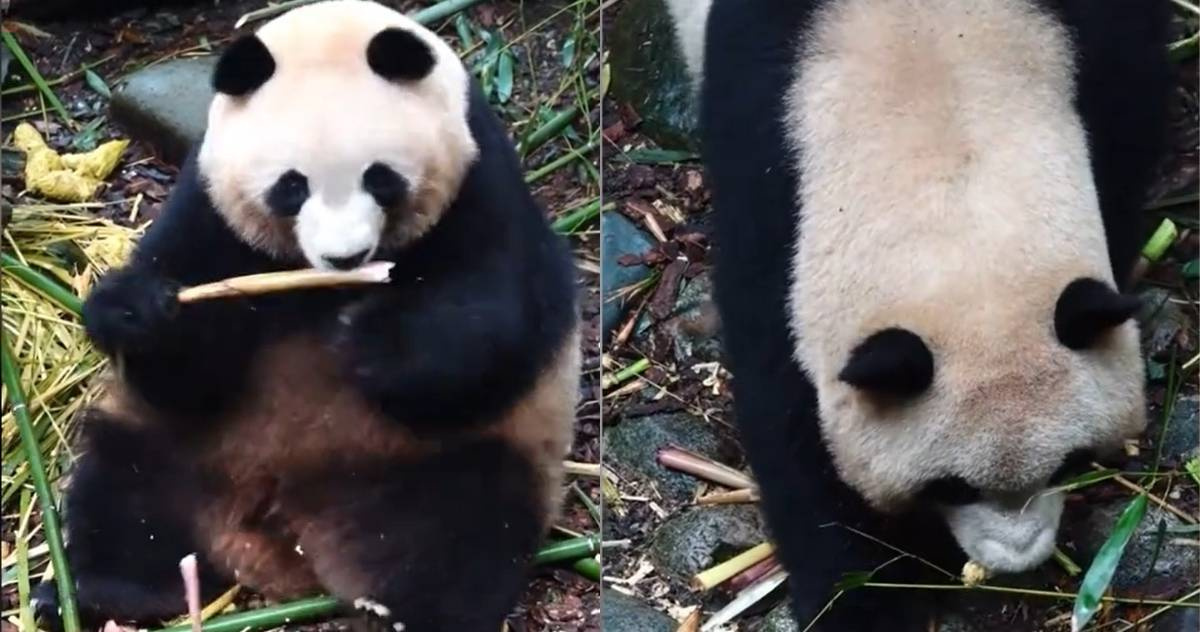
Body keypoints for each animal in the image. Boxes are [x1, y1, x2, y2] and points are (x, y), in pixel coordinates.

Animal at [34, 1, 580, 630]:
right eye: (292, 186)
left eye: (379, 177)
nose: (344, 257)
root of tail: (281, 531)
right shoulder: (210, 207)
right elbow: (190, 372)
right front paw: (138, 312)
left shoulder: (483, 190)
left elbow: (492, 321)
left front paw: (369, 341)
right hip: (180, 446)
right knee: (126, 489)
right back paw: (104, 591)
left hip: (439, 458)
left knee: (467, 525)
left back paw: (405, 608)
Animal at [663, 0, 1172, 629]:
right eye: (949, 487)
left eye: (1070, 464)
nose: (1017, 560)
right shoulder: (766, 171)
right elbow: (786, 413)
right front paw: (858, 597)